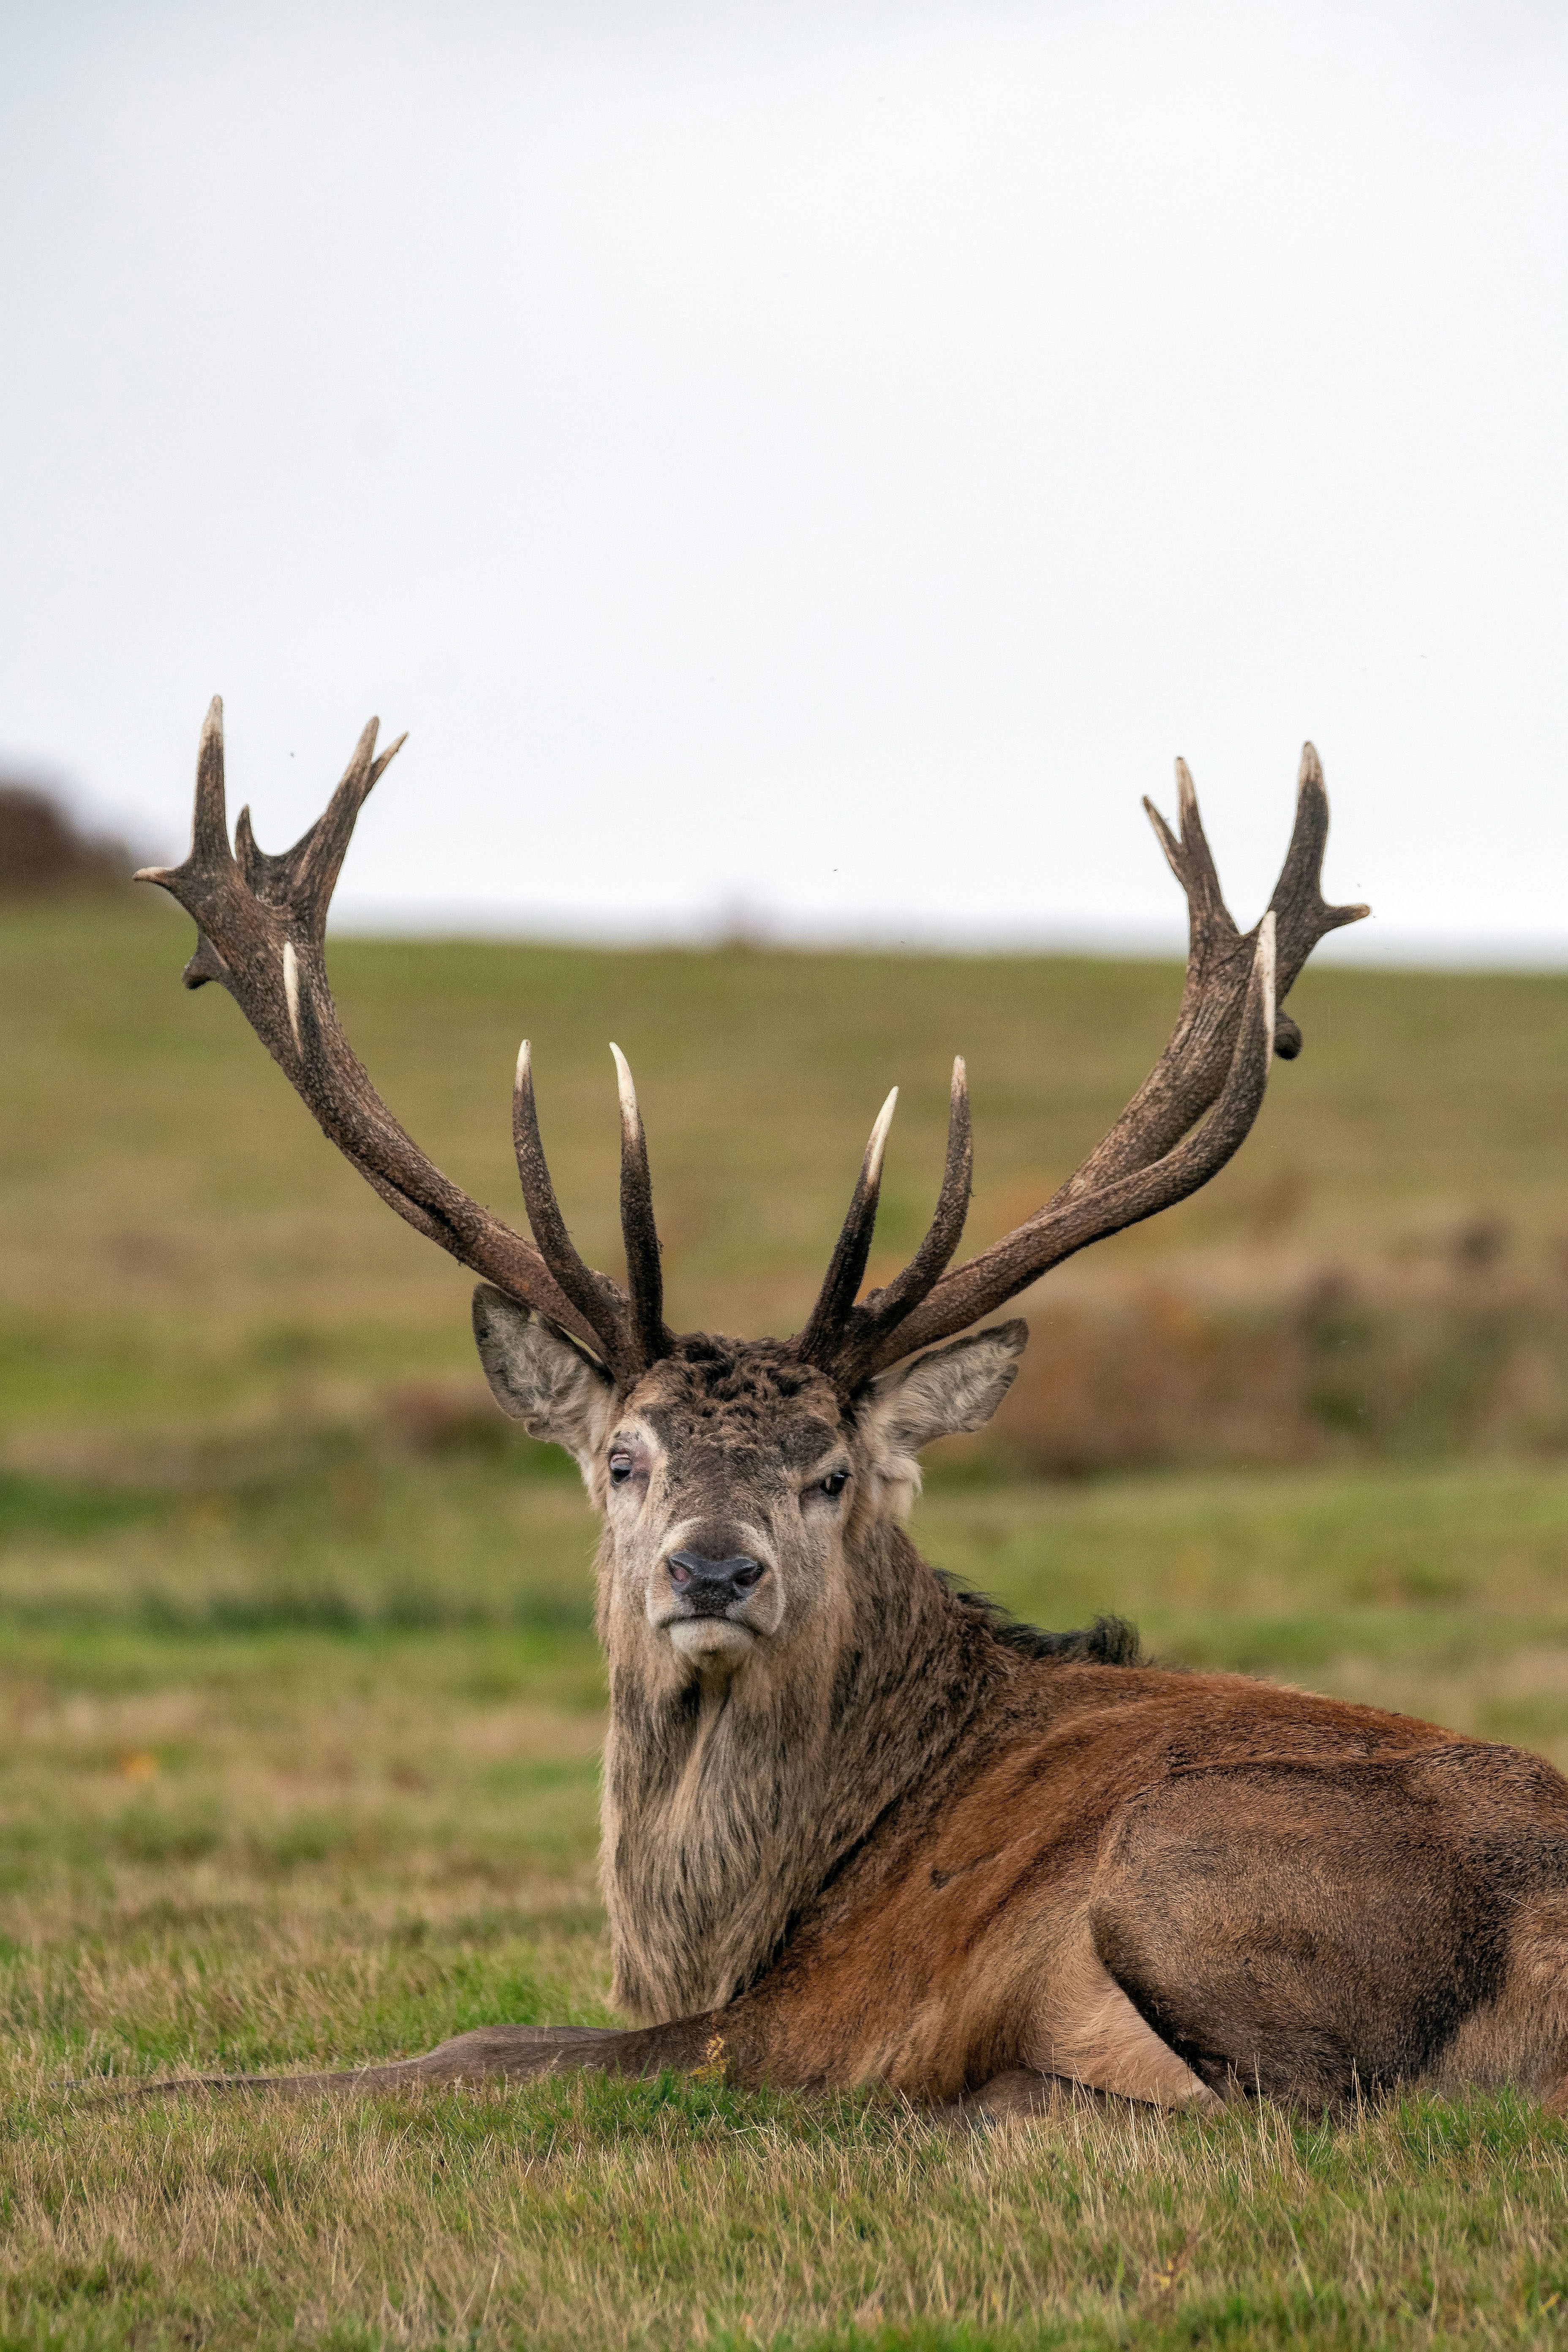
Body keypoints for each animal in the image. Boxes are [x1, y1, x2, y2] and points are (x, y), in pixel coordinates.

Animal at [131, 698, 1568, 2123]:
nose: (713, 1569)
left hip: (1190, 1854)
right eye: (623, 1459)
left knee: (1287, 2102)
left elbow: (481, 2045)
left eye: (831, 1473)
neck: (745, 1914)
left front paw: (143, 2088)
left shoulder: (811, 2017)